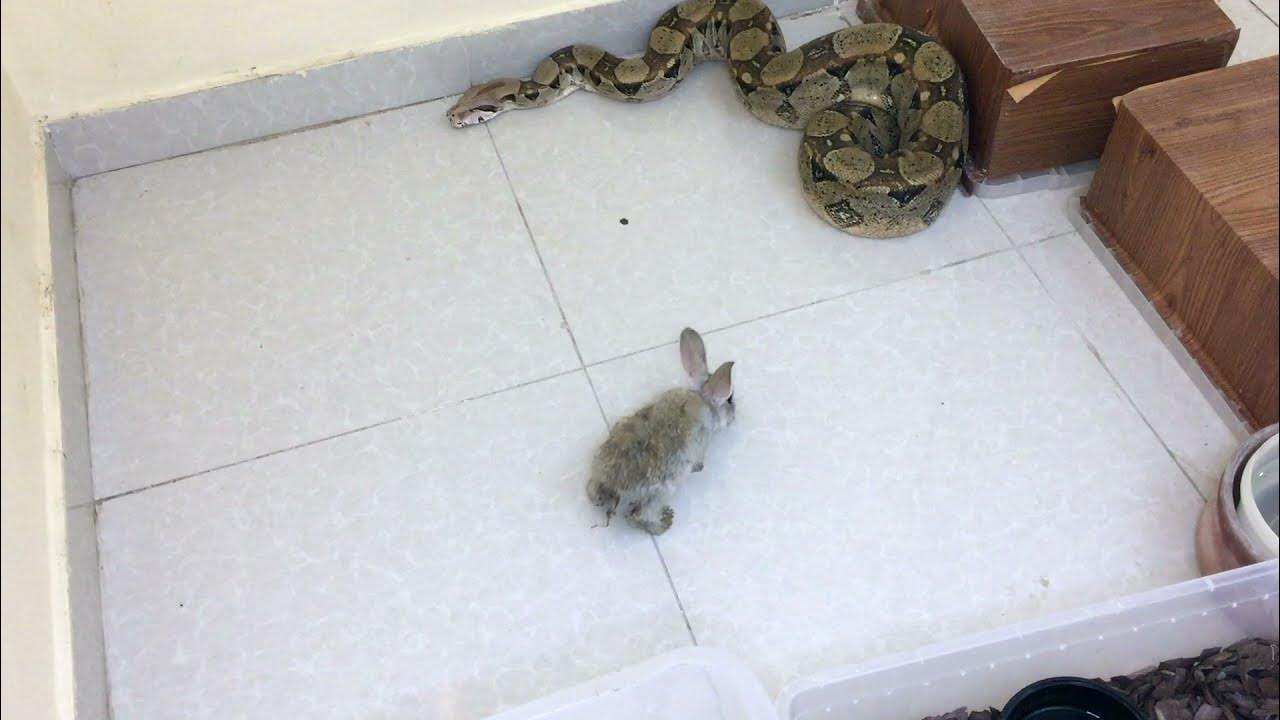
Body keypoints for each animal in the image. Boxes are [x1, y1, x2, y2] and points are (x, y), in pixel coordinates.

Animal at [586, 327, 735, 535]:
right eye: (730, 399)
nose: (735, 415)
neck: (703, 399)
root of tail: (613, 486)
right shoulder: (702, 444)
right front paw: (700, 468)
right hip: (663, 490)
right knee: (639, 516)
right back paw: (665, 521)